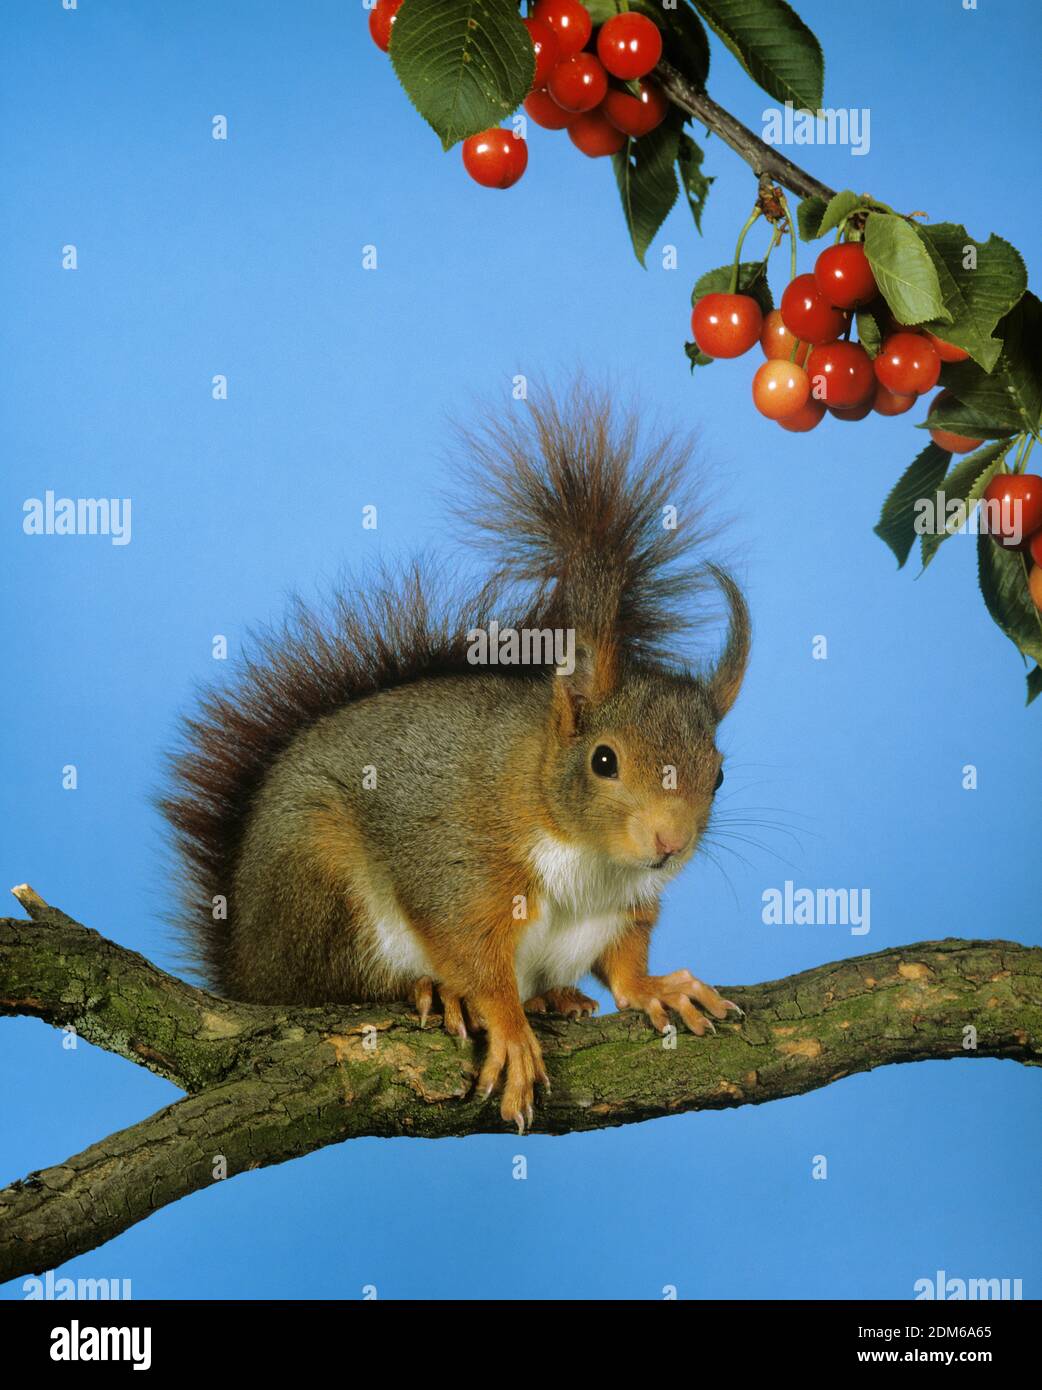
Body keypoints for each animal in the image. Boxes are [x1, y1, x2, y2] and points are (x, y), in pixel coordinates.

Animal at [161, 384, 750, 1131]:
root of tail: (246, 972)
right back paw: (431, 991)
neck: (587, 851)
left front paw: (655, 987)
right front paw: (507, 1025)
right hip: (320, 881)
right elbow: (472, 950)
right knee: (339, 985)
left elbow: (623, 960)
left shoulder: (626, 905)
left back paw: (553, 997)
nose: (669, 844)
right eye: (603, 761)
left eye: (720, 773)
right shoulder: (464, 866)